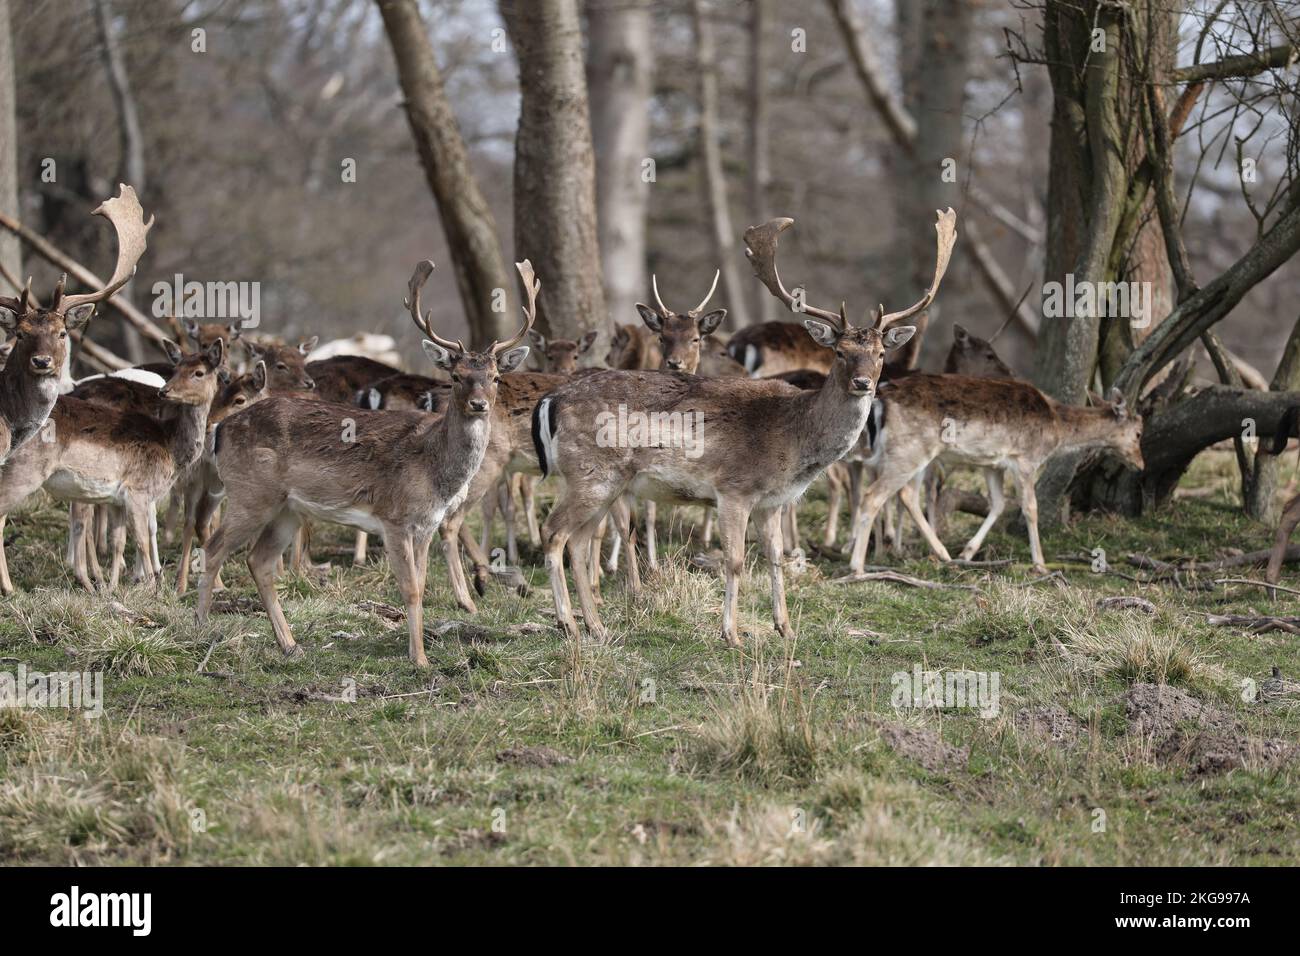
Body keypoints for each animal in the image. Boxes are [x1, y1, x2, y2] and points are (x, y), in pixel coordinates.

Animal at [195, 261, 534, 667]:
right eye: (456, 376)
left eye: (496, 377)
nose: (479, 404)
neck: (434, 468)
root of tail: (220, 429)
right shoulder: (394, 517)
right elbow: (410, 588)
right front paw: (419, 660)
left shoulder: (426, 525)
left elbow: (422, 584)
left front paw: (421, 651)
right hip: (250, 494)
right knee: (213, 549)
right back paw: (197, 630)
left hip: (287, 508)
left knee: (258, 561)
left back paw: (290, 644)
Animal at [531, 210, 952, 646]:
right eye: (839, 351)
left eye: (881, 353)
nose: (863, 383)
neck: (793, 440)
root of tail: (551, 401)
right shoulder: (733, 489)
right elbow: (734, 561)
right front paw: (731, 633)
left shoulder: (773, 502)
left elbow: (775, 558)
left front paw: (785, 627)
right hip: (589, 474)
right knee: (554, 532)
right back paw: (567, 623)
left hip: (606, 484)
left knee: (579, 541)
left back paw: (595, 625)